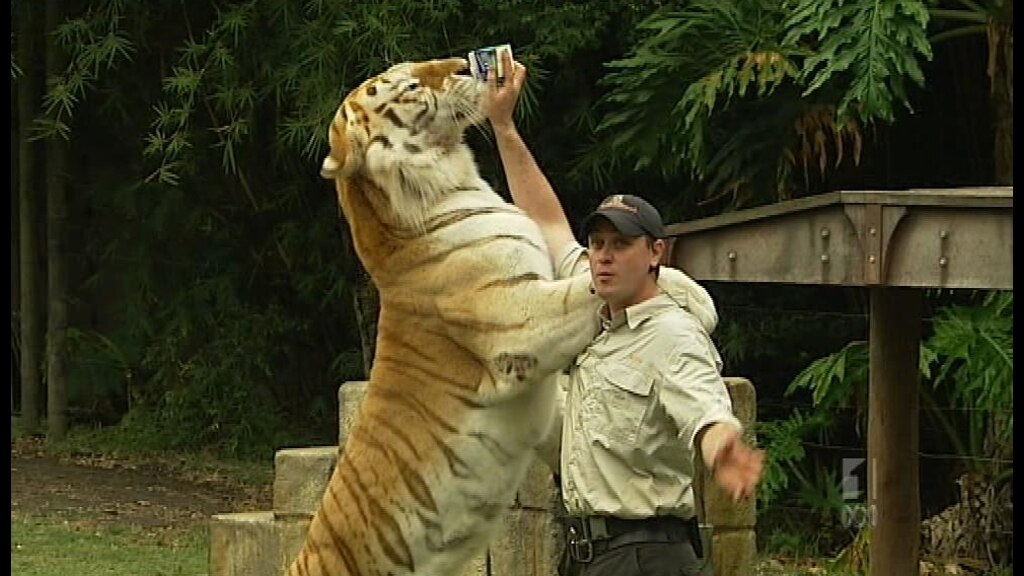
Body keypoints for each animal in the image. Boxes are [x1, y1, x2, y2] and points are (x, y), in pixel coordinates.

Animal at [288, 56, 721, 576]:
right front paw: (692, 302)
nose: (462, 64)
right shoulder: (519, 319)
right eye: (411, 85)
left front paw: (692, 294)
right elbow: (586, 289)